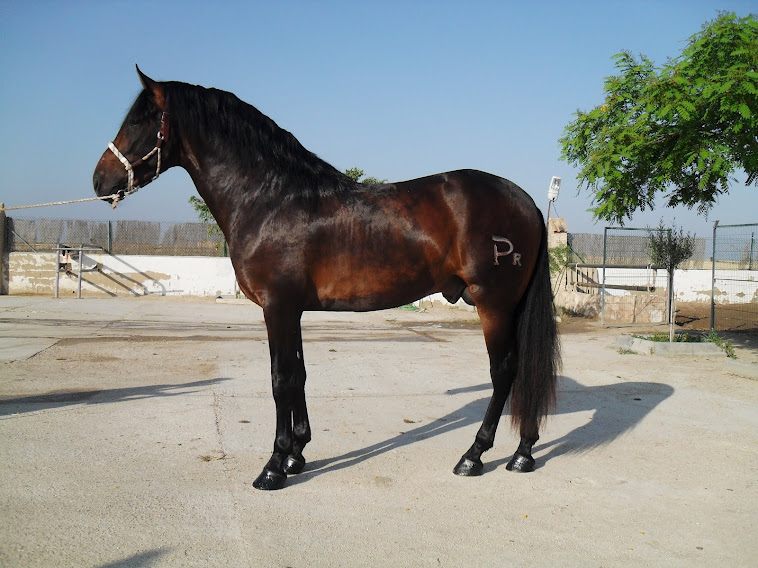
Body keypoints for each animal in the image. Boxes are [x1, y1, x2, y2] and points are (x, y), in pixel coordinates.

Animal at [93, 67, 560, 490]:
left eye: (139, 121)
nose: (99, 181)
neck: (270, 198)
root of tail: (528, 202)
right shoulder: (292, 310)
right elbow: (298, 374)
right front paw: (297, 454)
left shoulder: (277, 307)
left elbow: (280, 379)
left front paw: (273, 467)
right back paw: (523, 452)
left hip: (493, 304)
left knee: (504, 371)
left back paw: (475, 455)